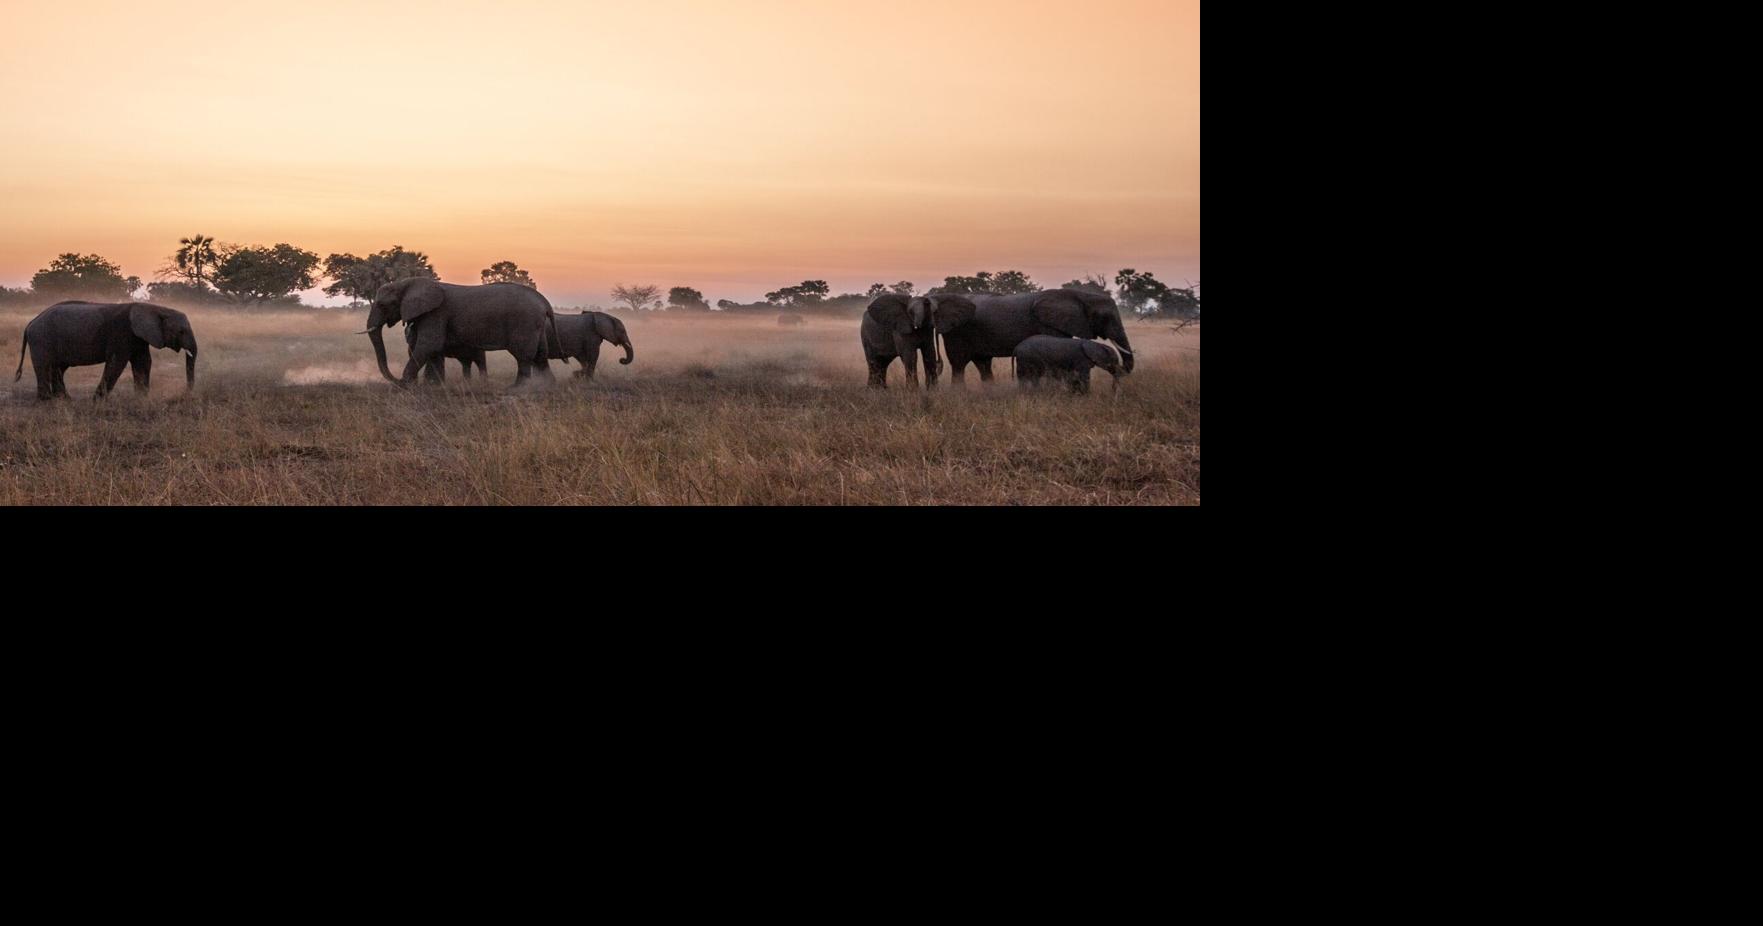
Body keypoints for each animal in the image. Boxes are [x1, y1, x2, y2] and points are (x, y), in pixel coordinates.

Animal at [14, 301, 197, 400]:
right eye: (181, 331)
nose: (185, 394)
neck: (154, 308)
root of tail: (30, 323)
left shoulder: (138, 337)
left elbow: (143, 362)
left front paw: (141, 399)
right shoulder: (122, 332)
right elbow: (117, 363)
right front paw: (97, 401)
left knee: (58, 368)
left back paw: (64, 400)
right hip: (41, 339)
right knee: (44, 366)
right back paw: (47, 401)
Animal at [363, 279, 565, 386]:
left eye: (383, 305)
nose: (397, 380)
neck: (408, 282)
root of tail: (543, 301)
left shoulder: (436, 313)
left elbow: (430, 344)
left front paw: (407, 385)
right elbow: (432, 349)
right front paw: (433, 386)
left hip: (524, 323)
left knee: (523, 356)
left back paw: (517, 389)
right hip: (537, 326)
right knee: (541, 355)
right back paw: (547, 386)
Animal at [918, 289, 1135, 385]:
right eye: (1106, 317)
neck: (1081, 296)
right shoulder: (1048, 325)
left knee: (983, 364)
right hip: (957, 332)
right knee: (959, 364)